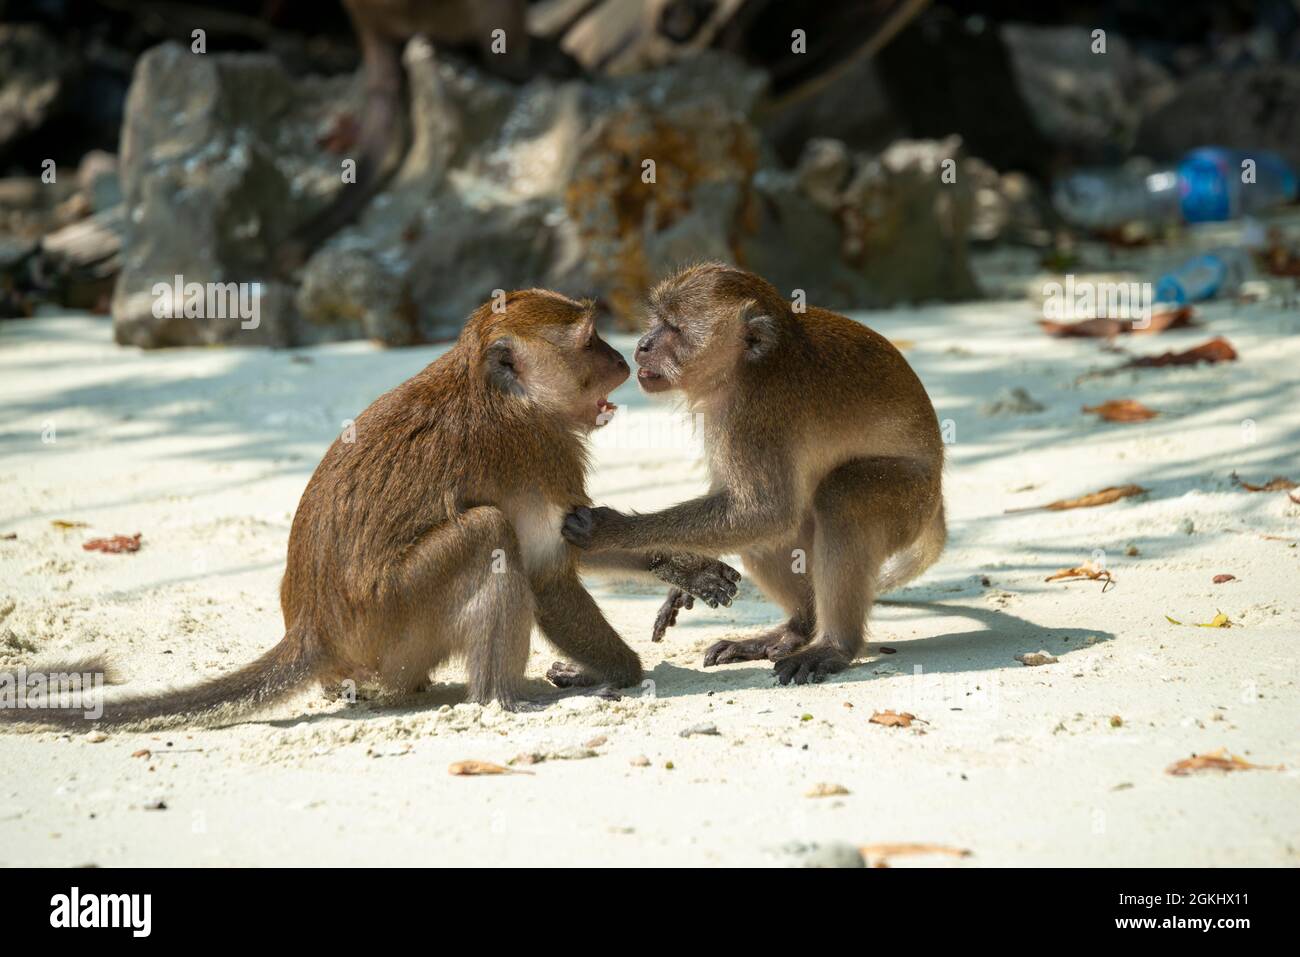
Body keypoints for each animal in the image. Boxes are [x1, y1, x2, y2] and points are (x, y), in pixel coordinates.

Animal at [2, 290, 739, 729]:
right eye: (589, 341)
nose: (623, 358)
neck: (500, 392)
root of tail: (314, 627)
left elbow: (581, 535)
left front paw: (685, 566)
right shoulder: (536, 449)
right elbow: (550, 569)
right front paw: (621, 672)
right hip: (393, 619)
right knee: (488, 531)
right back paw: (503, 698)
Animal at [562, 262, 946, 685]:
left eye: (674, 328)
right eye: (658, 321)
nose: (644, 343)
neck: (746, 367)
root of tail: (938, 484)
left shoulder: (754, 414)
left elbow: (764, 511)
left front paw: (612, 530)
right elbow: (745, 505)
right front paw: (684, 570)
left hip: (911, 502)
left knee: (840, 496)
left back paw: (835, 646)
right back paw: (797, 626)